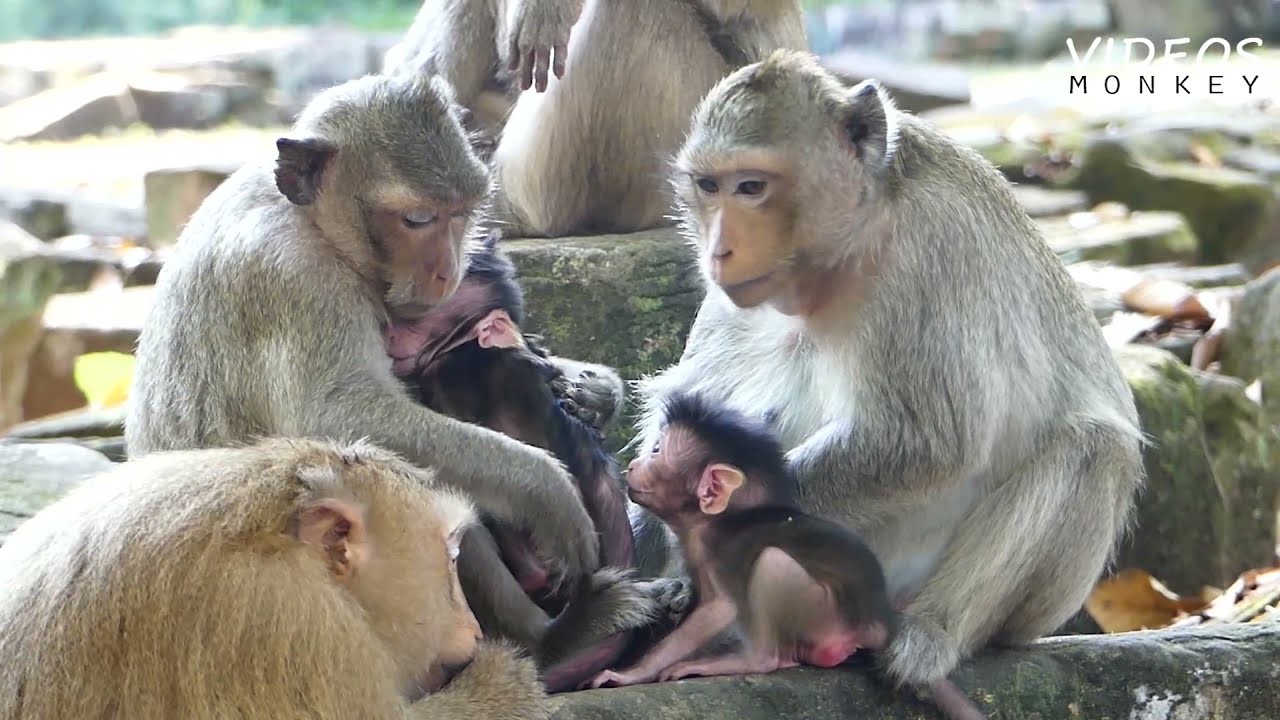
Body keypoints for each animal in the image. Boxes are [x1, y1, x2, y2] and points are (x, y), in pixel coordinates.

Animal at [589, 393, 988, 720]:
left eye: (657, 450)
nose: (633, 465)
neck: (714, 520)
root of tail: (879, 623)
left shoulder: (718, 553)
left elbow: (717, 609)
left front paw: (632, 672)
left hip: (824, 614)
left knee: (771, 564)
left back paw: (754, 659)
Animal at [628, 50, 1146, 694]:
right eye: (708, 186)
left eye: (751, 187)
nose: (718, 249)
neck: (845, 253)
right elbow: (691, 401)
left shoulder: (931, 249)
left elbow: (930, 440)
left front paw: (691, 541)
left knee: (1093, 446)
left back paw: (926, 635)